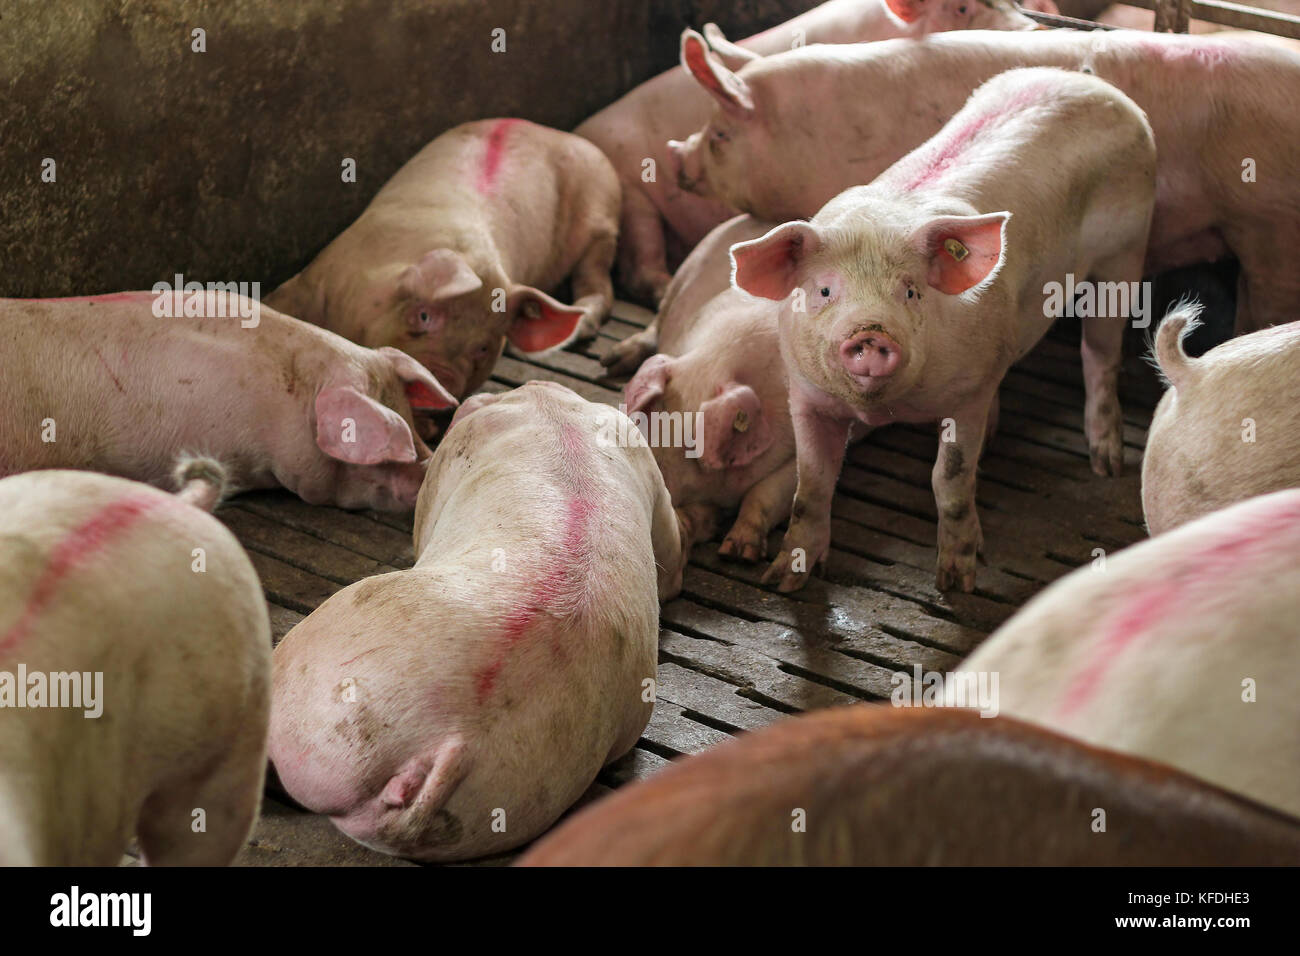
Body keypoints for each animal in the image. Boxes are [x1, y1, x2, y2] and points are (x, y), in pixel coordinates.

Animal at [267, 120, 620, 400]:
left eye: (483, 346)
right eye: (424, 316)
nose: (443, 381)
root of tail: (559, 134)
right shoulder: (317, 276)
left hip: (602, 224)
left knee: (599, 285)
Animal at [729, 68, 1155, 593]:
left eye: (911, 291)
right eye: (825, 290)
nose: (871, 333)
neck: (885, 409)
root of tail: (1086, 80)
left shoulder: (964, 397)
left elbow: (948, 479)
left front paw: (955, 582)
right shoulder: (807, 397)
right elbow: (812, 487)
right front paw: (781, 581)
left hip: (1126, 255)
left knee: (1100, 354)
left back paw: (1106, 463)